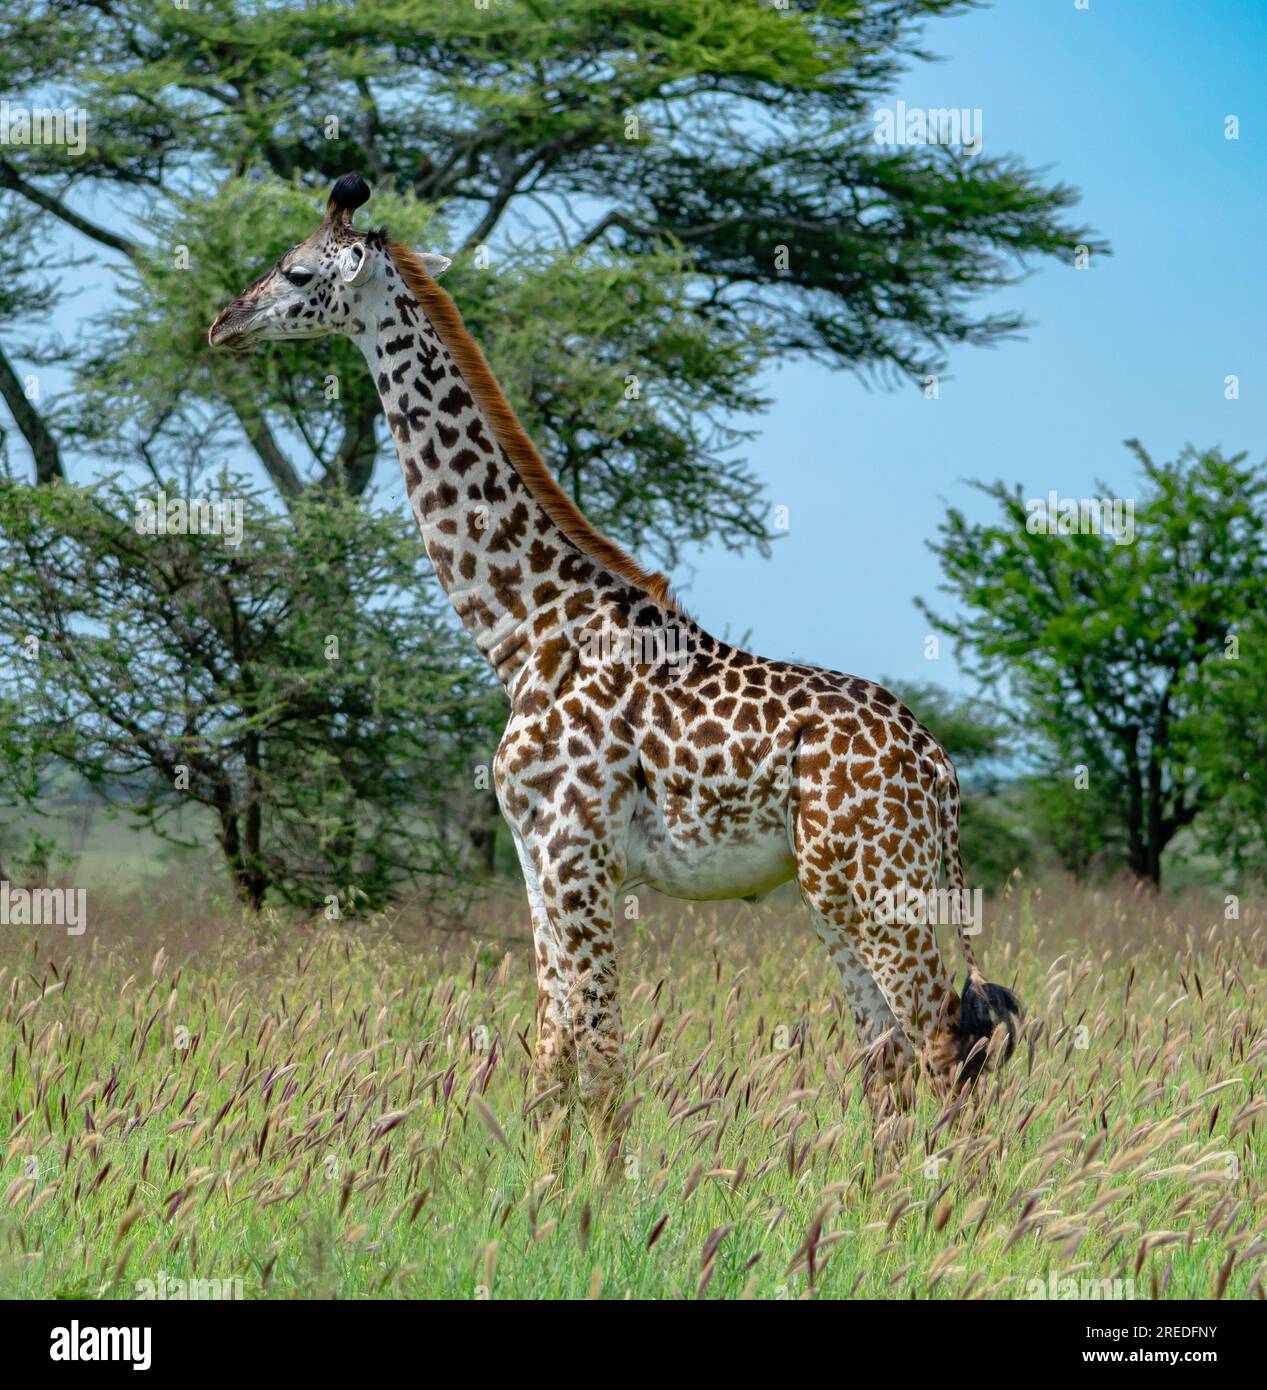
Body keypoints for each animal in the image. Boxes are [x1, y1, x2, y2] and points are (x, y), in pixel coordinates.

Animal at [210, 173, 1022, 1126]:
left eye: (297, 271)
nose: (223, 322)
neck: (524, 629)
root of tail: (940, 768)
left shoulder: (576, 853)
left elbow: (596, 1059)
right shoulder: (536, 862)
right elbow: (552, 1054)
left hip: (875, 881)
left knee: (943, 1042)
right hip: (834, 888)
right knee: (885, 1051)